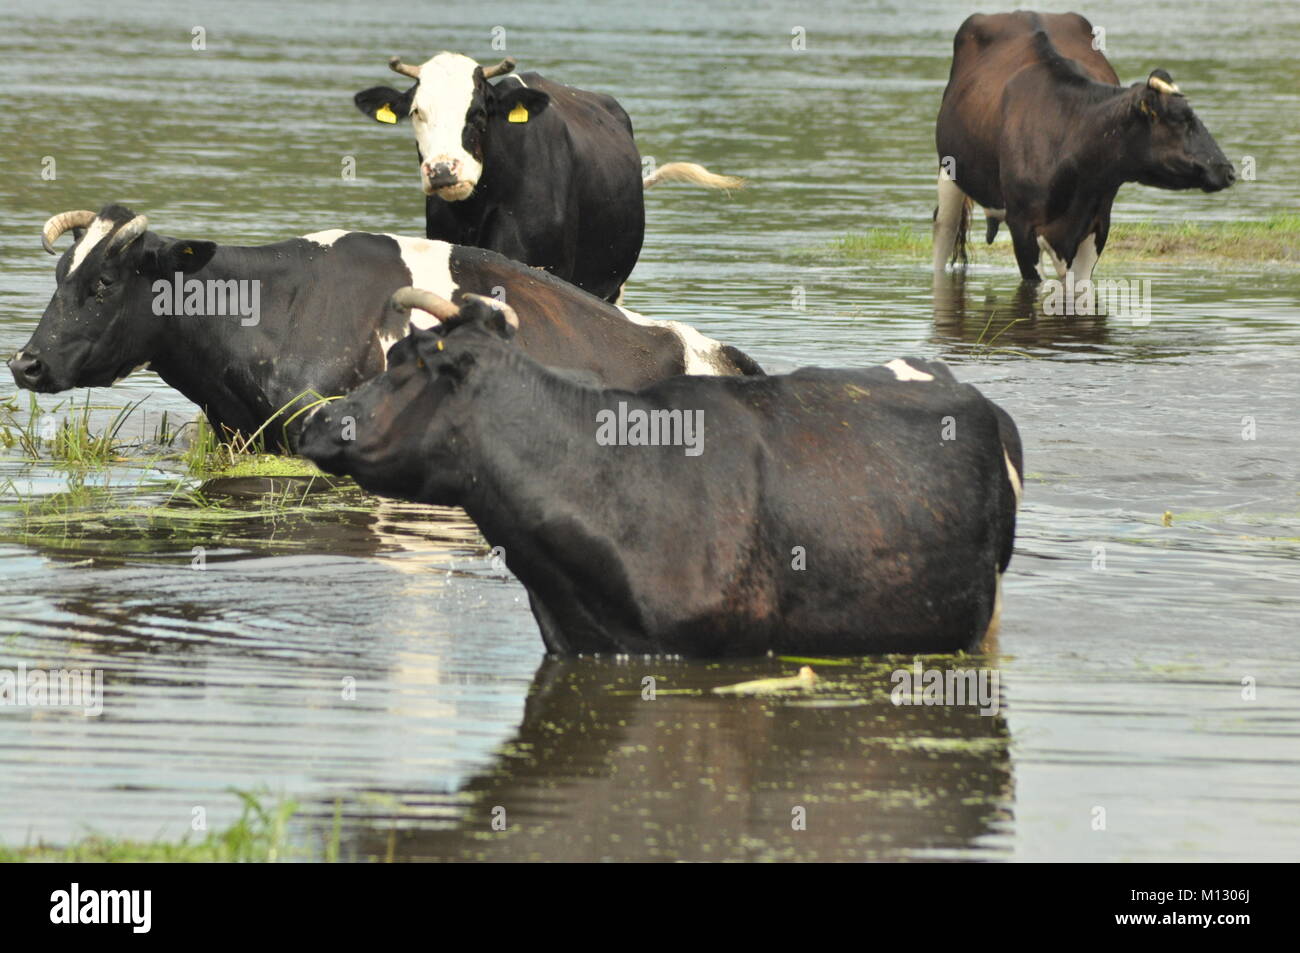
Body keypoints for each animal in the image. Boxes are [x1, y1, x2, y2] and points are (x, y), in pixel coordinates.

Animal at [933, 11, 1235, 284]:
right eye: (1181, 120)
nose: (1228, 170)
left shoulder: (1097, 224)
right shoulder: (1021, 227)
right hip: (949, 171)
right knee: (943, 230)